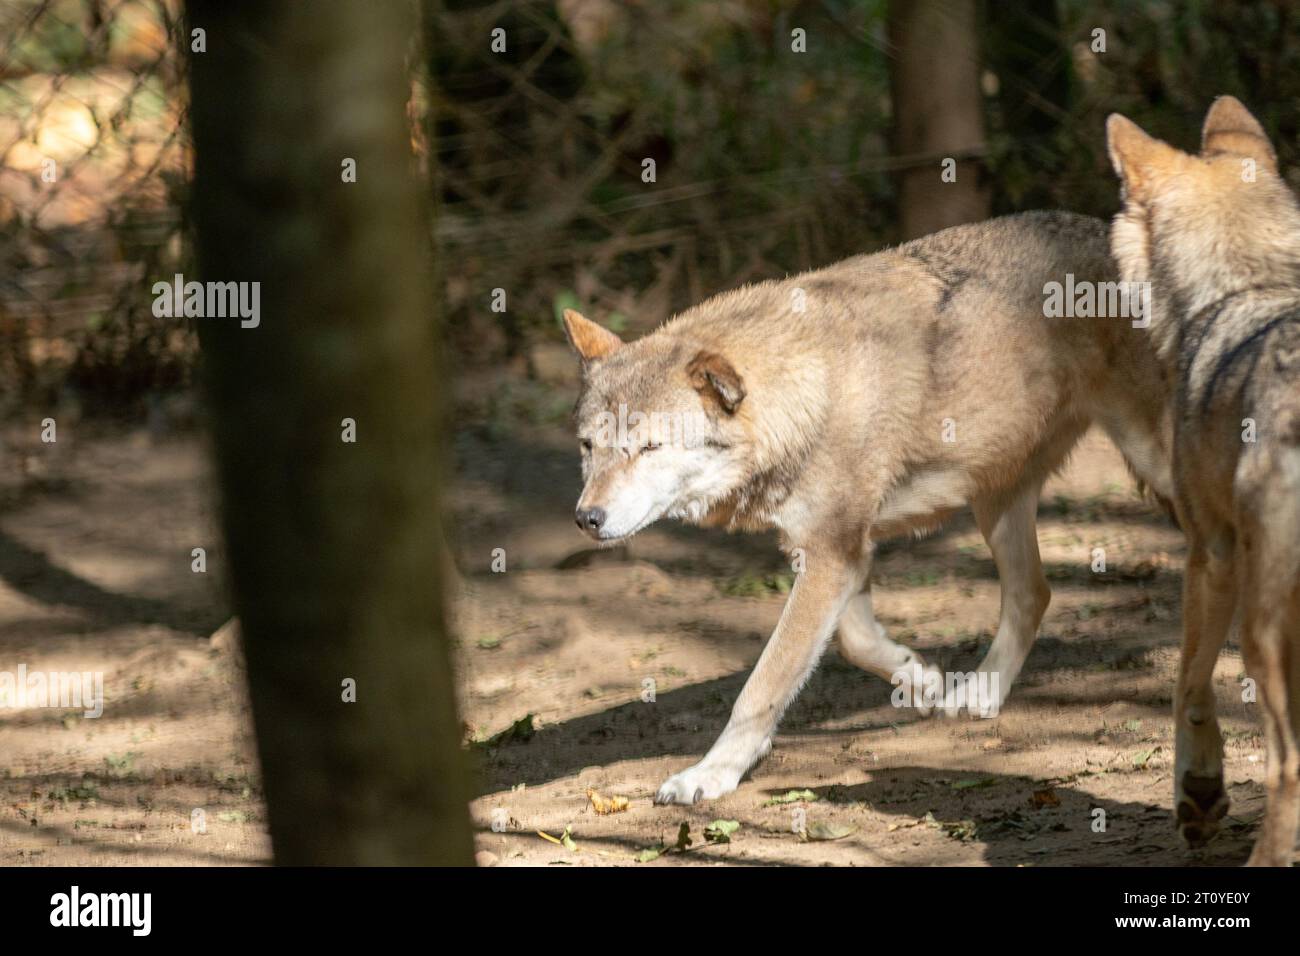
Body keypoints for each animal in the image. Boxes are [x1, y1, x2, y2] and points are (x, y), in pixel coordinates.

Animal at [562, 211, 1174, 805]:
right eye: (589, 446)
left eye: (648, 448)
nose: (586, 519)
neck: (809, 390)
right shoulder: (834, 552)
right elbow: (855, 642)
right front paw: (918, 677)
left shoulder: (833, 555)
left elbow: (762, 684)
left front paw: (710, 775)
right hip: (995, 503)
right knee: (1034, 594)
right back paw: (981, 694)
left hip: (1151, 467)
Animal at [1108, 97, 1300, 866]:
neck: (1249, 284)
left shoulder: (1209, 553)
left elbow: (1187, 685)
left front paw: (1198, 795)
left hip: (1264, 630)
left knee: (1287, 766)